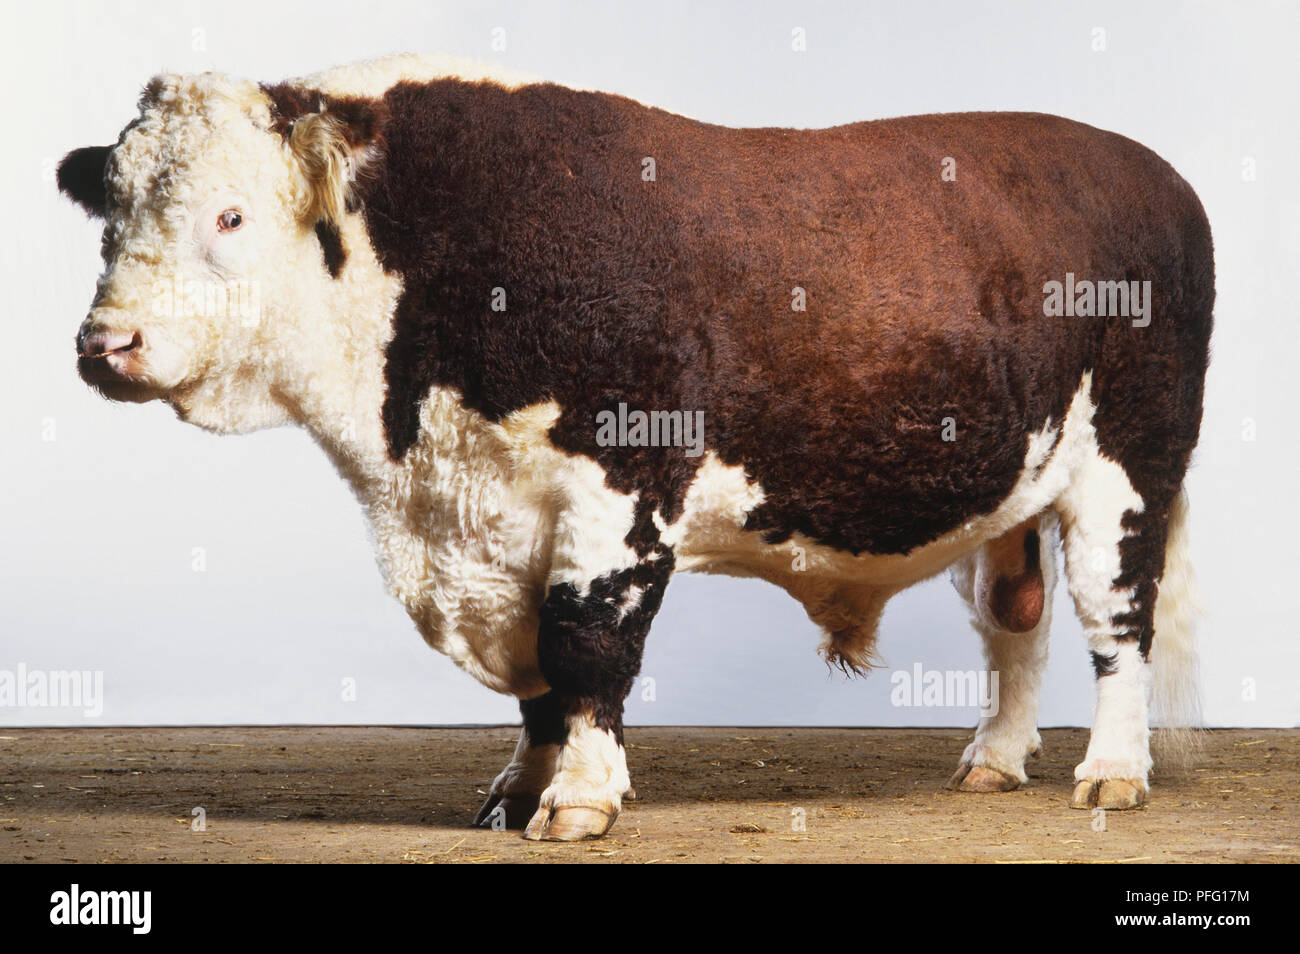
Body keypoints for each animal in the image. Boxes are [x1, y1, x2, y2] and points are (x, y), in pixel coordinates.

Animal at [57, 53, 1212, 841]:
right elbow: (537, 678)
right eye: (110, 215)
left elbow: (585, 645)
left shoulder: (617, 491)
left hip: (1130, 466)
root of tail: (1145, 168)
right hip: (1010, 484)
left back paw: (1112, 772)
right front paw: (520, 785)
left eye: (230, 216)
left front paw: (577, 799)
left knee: (1117, 620)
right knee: (1014, 620)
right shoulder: (498, 529)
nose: (105, 343)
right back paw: (994, 760)